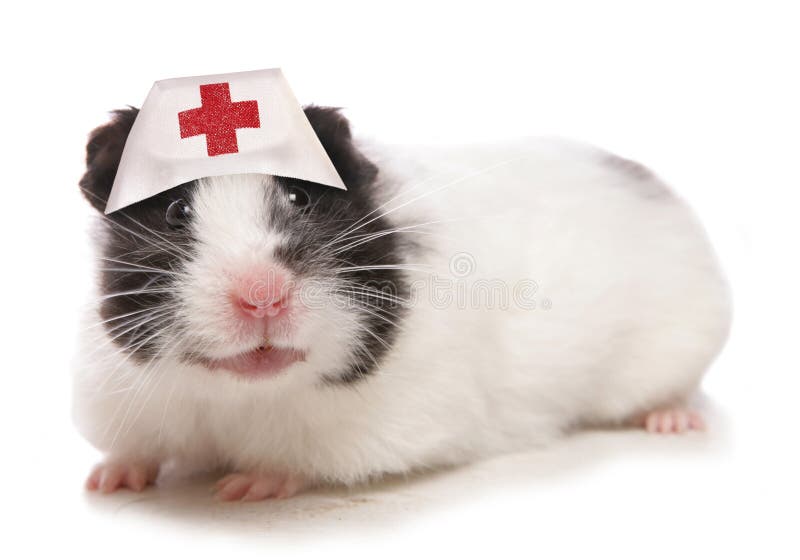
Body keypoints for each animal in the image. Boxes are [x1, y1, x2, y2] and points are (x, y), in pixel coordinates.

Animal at [74, 106, 731, 500]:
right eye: (177, 211)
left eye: (299, 198)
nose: (261, 298)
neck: (239, 398)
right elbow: (136, 450)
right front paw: (108, 483)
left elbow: (295, 461)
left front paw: (242, 489)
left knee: (676, 391)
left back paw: (671, 422)